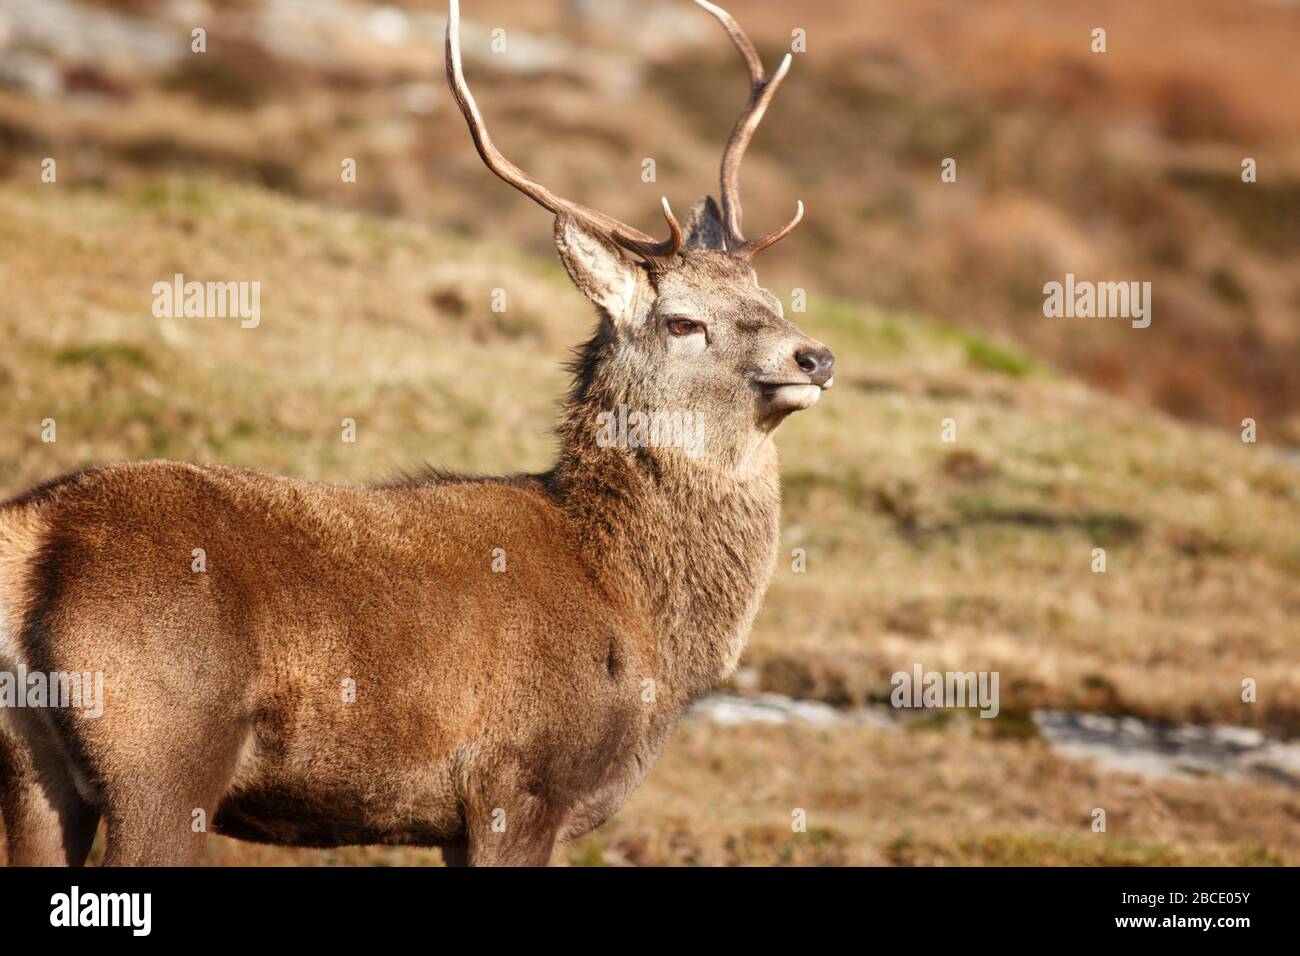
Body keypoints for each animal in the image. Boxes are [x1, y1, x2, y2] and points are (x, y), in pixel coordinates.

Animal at [0, 0, 833, 867]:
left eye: (773, 300)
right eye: (683, 321)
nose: (816, 355)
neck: (638, 619)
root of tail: (32, 537)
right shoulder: (518, 781)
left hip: (31, 765)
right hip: (165, 753)